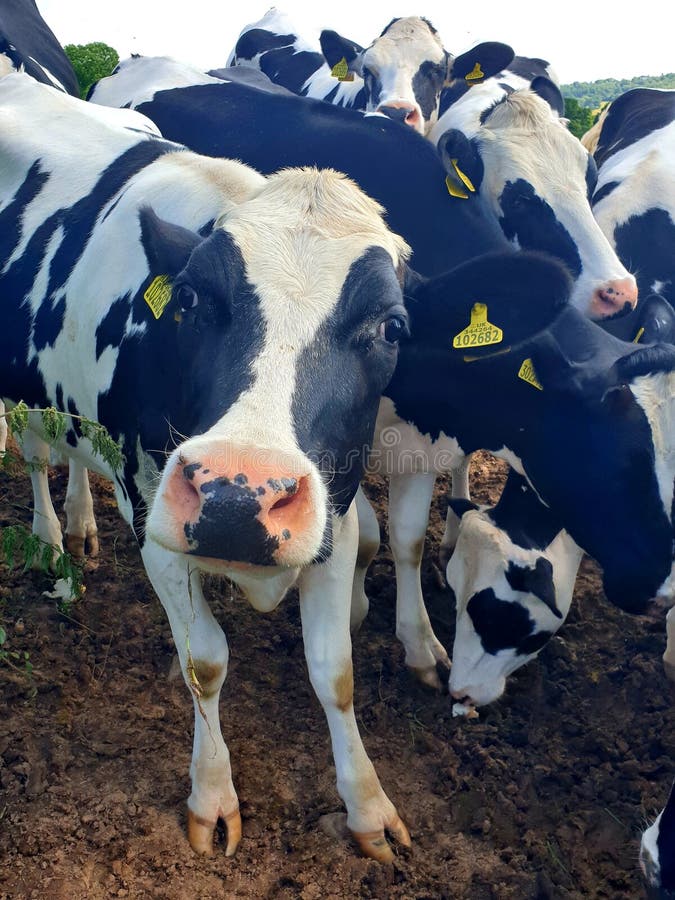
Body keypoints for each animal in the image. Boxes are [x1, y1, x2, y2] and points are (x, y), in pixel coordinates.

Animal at [0, 72, 419, 862]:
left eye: (391, 327)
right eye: (190, 298)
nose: (236, 494)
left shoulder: (335, 518)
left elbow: (335, 671)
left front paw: (370, 808)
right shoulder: (156, 521)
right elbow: (206, 662)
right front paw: (213, 797)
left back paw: (77, 524)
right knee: (36, 448)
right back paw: (49, 542)